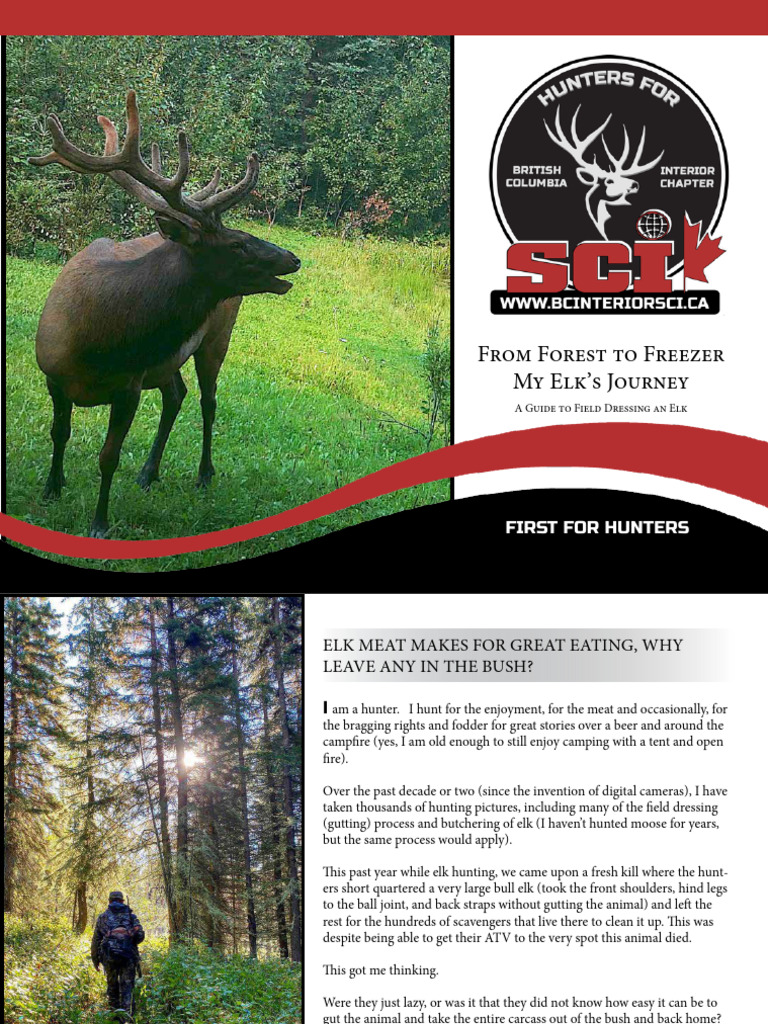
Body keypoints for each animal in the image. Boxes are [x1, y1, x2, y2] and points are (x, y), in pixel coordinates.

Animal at [29, 90, 300, 537]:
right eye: (238, 244)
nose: (293, 258)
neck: (98, 340)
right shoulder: (53, 374)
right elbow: (59, 433)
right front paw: (53, 486)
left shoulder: (129, 386)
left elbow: (108, 457)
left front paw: (99, 522)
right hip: (167, 359)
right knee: (178, 394)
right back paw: (148, 472)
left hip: (216, 337)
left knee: (208, 400)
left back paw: (204, 473)